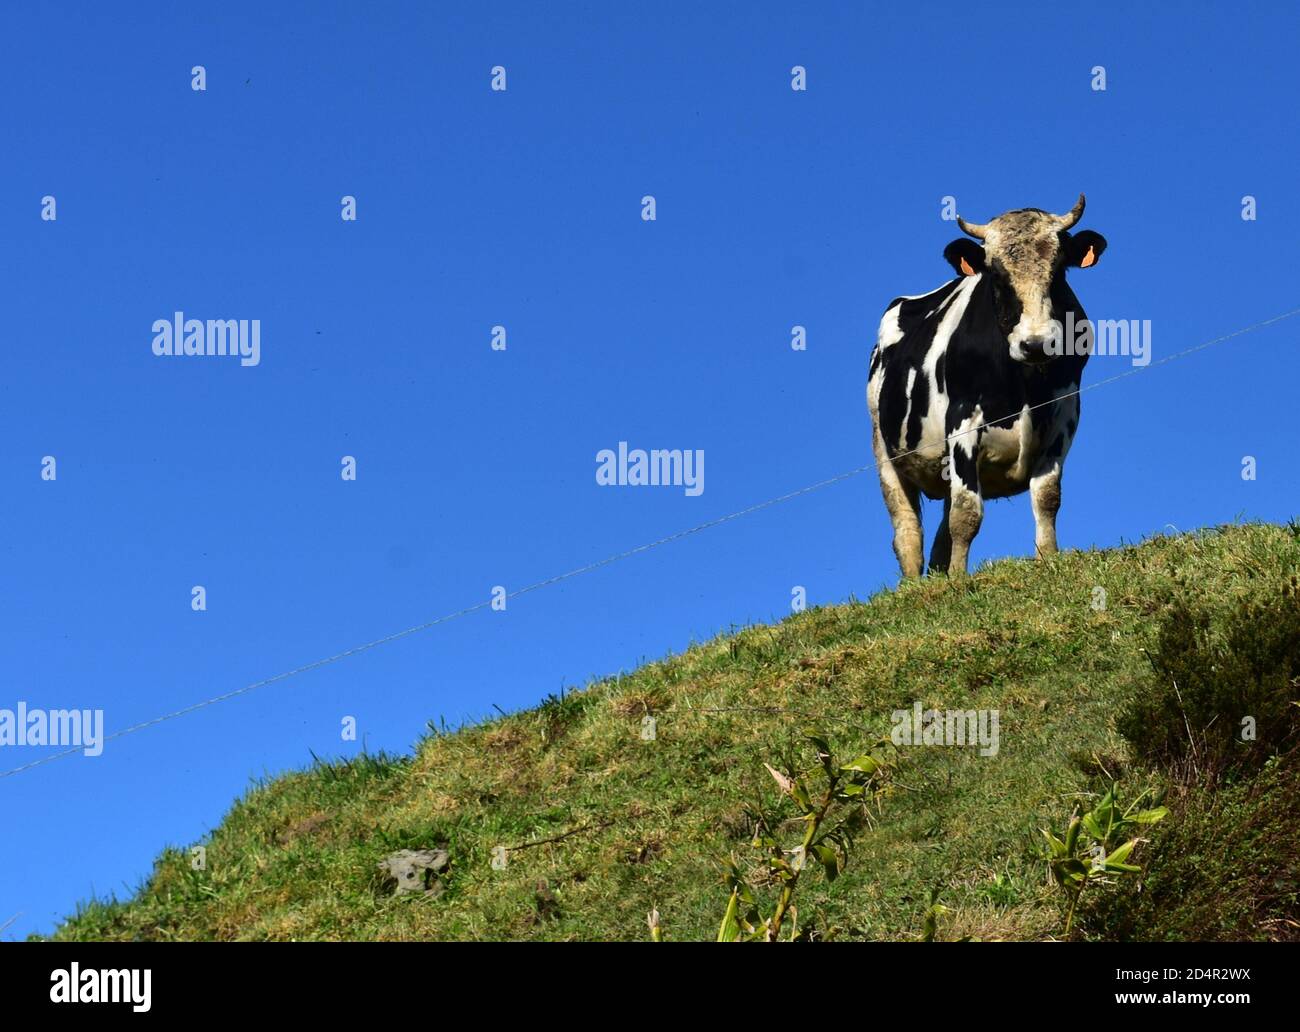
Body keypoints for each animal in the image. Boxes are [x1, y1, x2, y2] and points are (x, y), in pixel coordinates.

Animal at [866, 194, 1107, 578]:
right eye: (996, 274)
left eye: (1059, 269)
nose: (1036, 344)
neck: (1024, 385)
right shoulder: (963, 420)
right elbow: (966, 515)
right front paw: (959, 580)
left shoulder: (1065, 412)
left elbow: (1046, 497)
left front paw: (1048, 559)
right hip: (883, 448)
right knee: (906, 529)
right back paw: (914, 583)